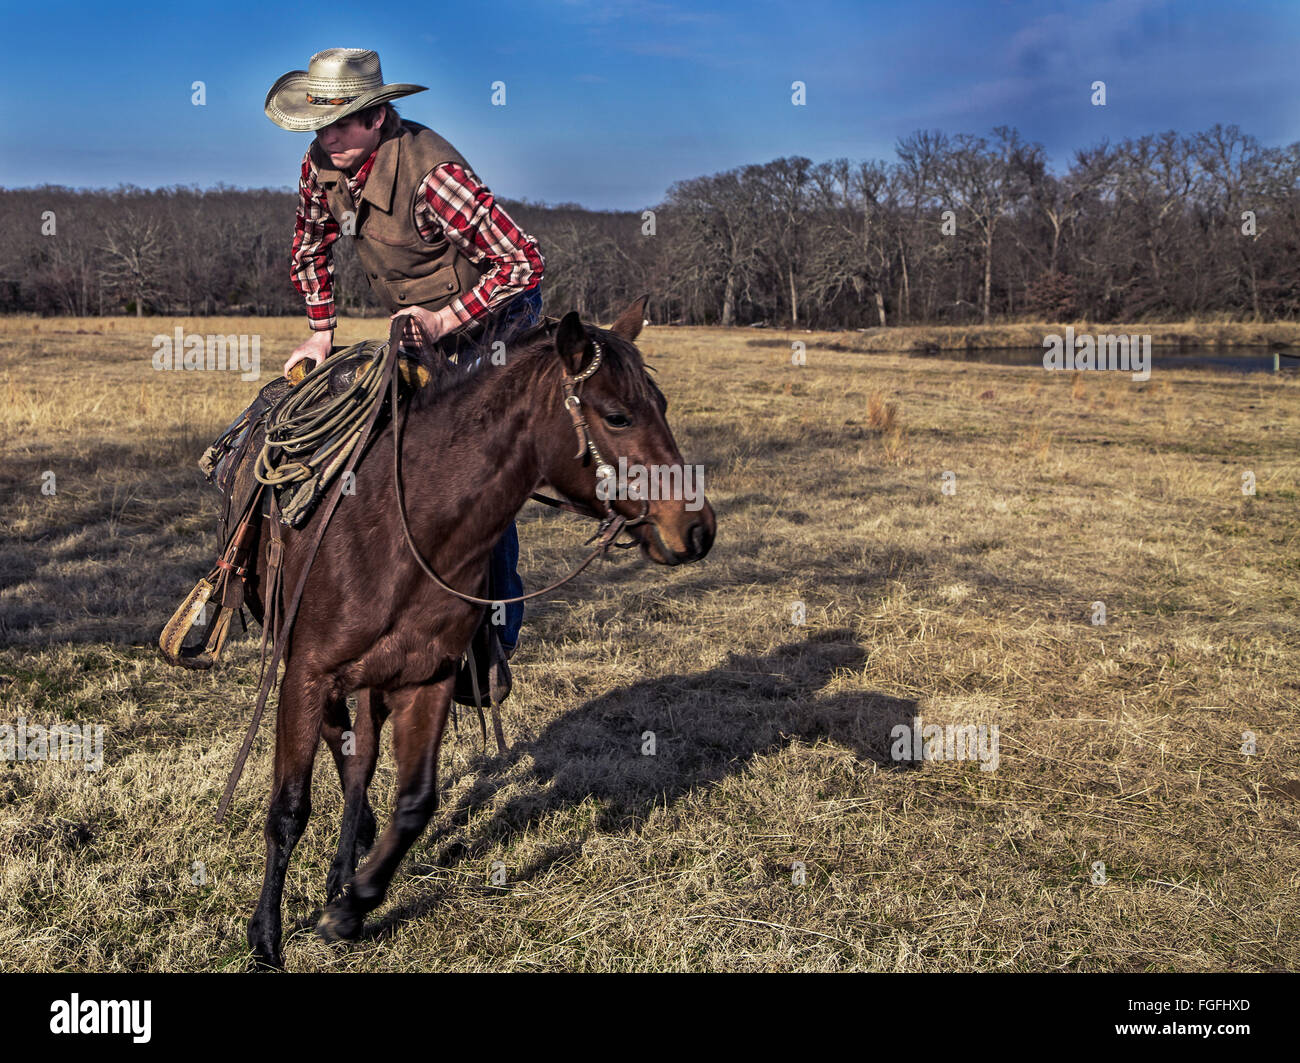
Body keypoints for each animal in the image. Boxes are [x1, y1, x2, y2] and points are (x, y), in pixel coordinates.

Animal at [239, 296, 715, 969]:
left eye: (664, 406)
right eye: (618, 415)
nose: (698, 530)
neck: (403, 529)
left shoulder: (428, 679)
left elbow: (415, 801)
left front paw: (351, 906)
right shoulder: (305, 673)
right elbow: (288, 809)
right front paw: (265, 939)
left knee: (359, 765)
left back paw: (344, 866)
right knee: (342, 751)